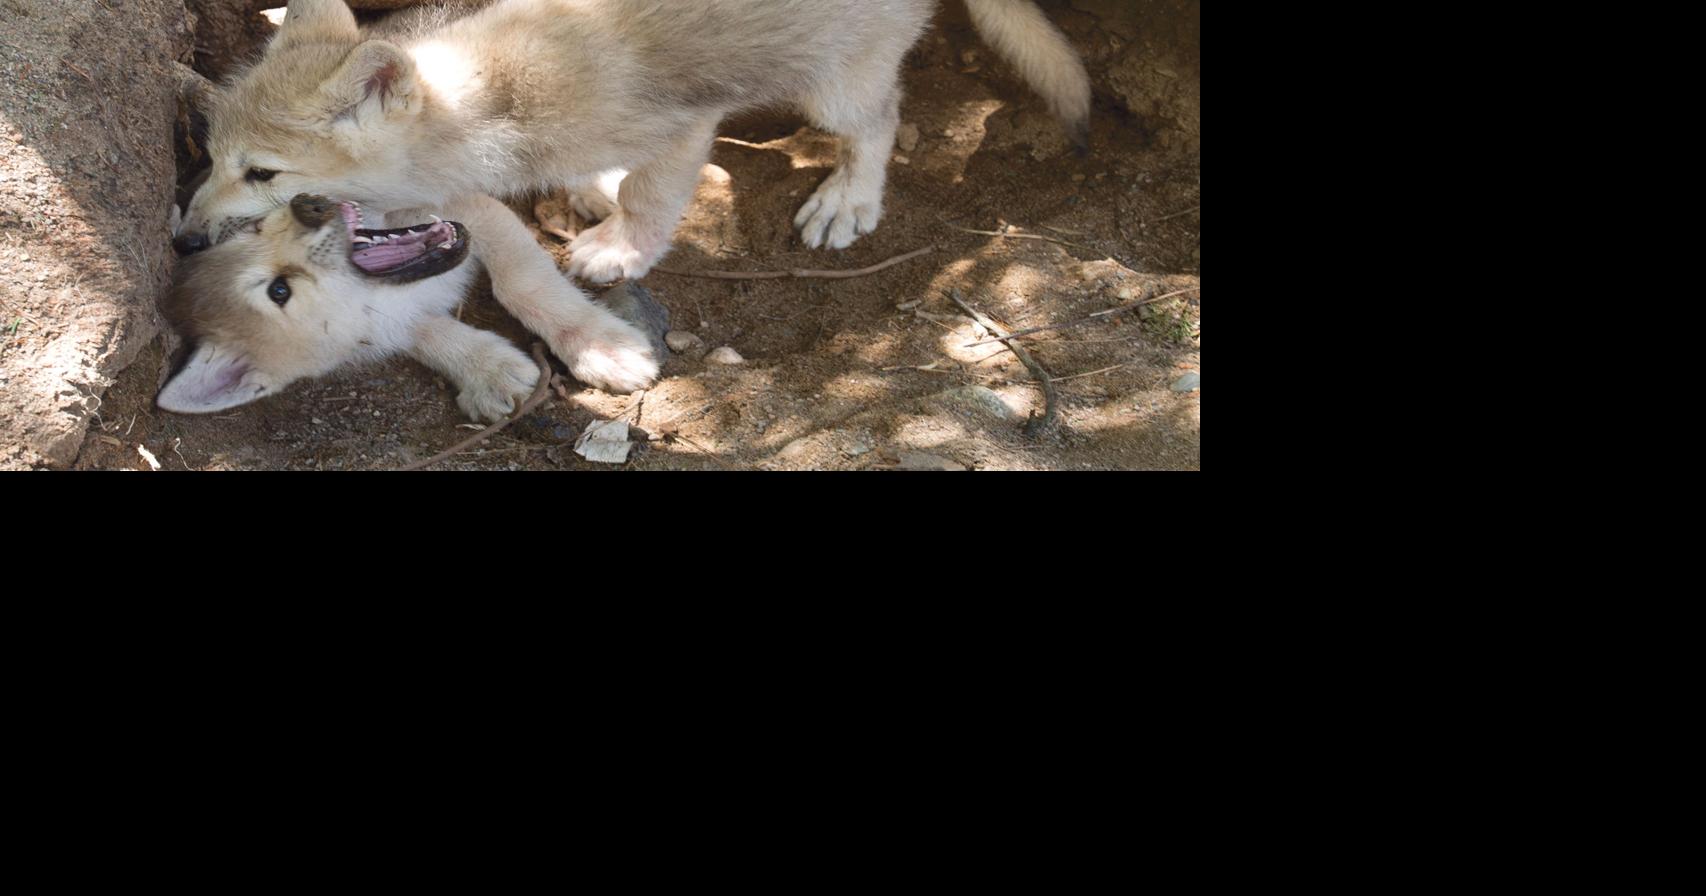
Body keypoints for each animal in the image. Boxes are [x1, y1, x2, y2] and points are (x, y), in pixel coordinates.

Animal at [158, 192, 658, 421]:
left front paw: (602, 347)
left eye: (255, 227)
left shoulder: (476, 211)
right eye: (278, 292)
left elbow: (523, 284)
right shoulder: (386, 328)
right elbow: (430, 334)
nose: (307, 204)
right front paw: (490, 370)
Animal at [177, 0, 1091, 283]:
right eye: (211, 158)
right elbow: (614, 178)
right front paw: (592, 192)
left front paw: (618, 248)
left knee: (880, 119)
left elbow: (654, 198)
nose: (182, 238)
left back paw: (849, 200)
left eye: (262, 173)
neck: (492, 98)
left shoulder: (683, 128)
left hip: (834, 83)